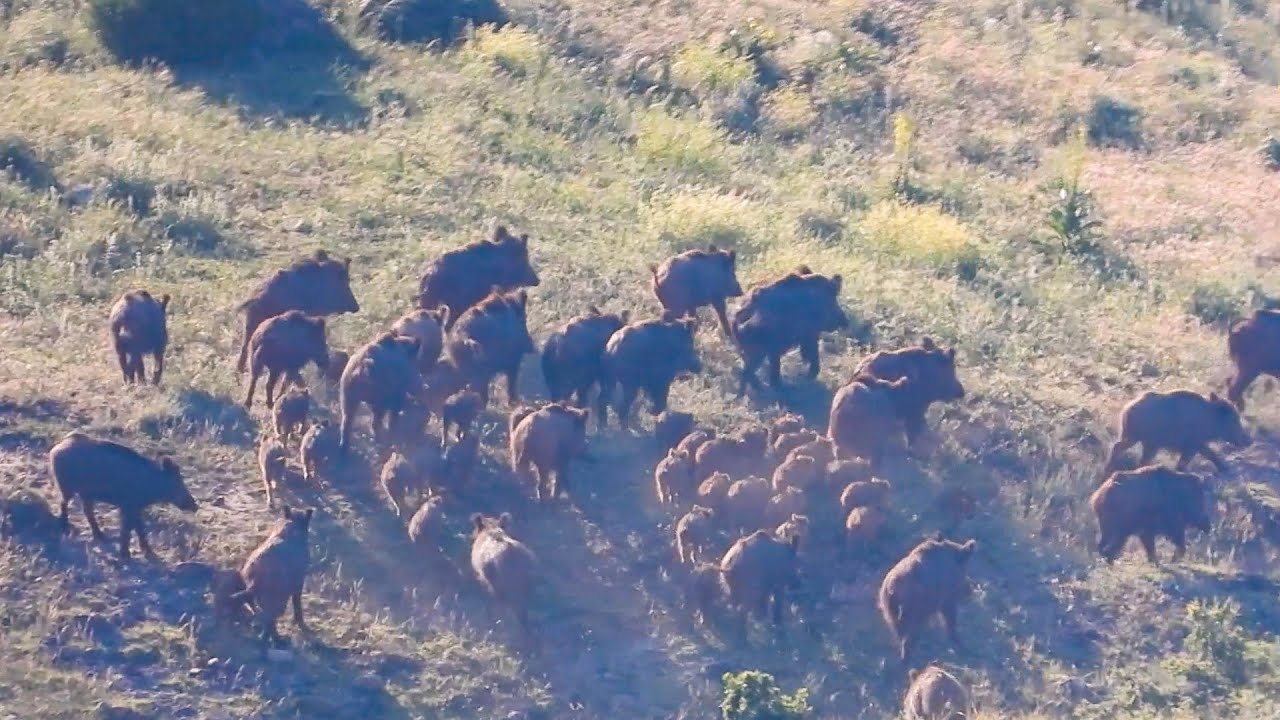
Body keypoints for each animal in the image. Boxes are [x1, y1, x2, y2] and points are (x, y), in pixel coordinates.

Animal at [48, 431, 197, 560]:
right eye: (176, 482)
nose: (195, 506)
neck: (150, 481)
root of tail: (58, 445)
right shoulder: (128, 506)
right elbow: (128, 529)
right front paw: (126, 555)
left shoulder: (136, 507)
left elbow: (139, 528)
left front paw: (148, 552)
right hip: (66, 486)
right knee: (64, 503)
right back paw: (64, 527)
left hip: (87, 493)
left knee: (87, 510)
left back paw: (100, 536)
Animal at [227, 505, 314, 644]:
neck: (292, 525)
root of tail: (255, 581)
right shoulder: (299, 581)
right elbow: (297, 602)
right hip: (278, 602)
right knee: (270, 622)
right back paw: (278, 640)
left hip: (253, 597)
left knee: (260, 615)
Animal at [879, 535, 977, 664]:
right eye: (965, 570)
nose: (970, 591)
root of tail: (893, 589)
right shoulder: (947, 599)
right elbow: (949, 621)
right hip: (912, 612)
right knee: (909, 640)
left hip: (889, 611)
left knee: (900, 635)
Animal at [1102, 390, 1251, 476]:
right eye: (1234, 419)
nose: (1248, 441)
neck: (1210, 419)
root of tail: (1127, 408)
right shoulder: (1193, 443)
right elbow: (1190, 460)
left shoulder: (1197, 443)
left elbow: (1210, 454)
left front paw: (1225, 468)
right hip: (1141, 438)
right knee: (1125, 450)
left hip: (1139, 438)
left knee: (1129, 452)